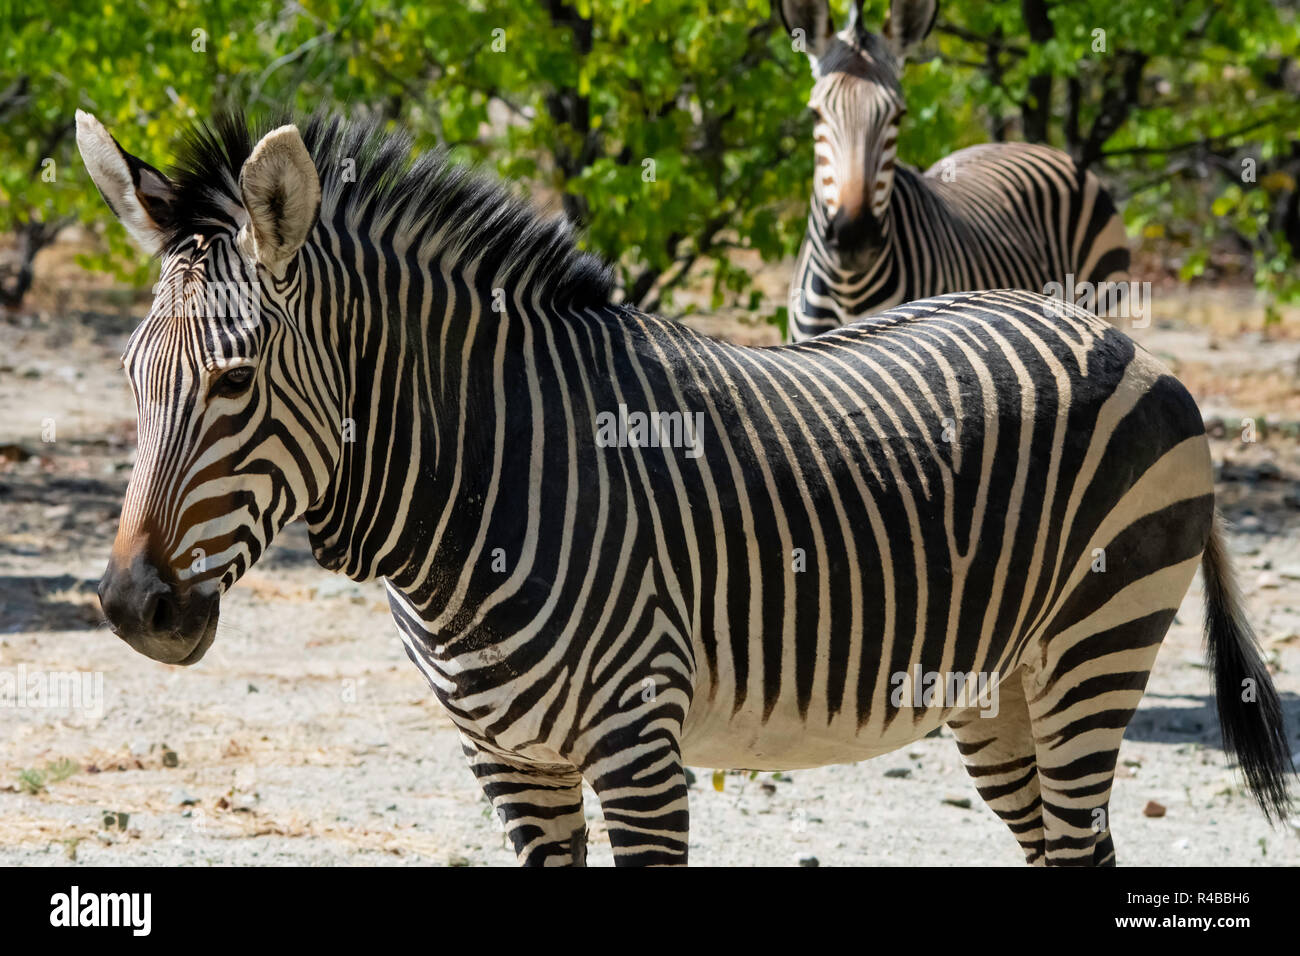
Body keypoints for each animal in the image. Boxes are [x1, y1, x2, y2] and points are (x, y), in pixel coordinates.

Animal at [79, 107, 1292, 866]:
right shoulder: (508, 762)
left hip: (1099, 641)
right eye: (131, 375)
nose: (134, 609)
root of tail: (1118, 337)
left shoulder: (638, 743)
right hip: (1000, 687)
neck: (483, 486)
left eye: (235, 380)